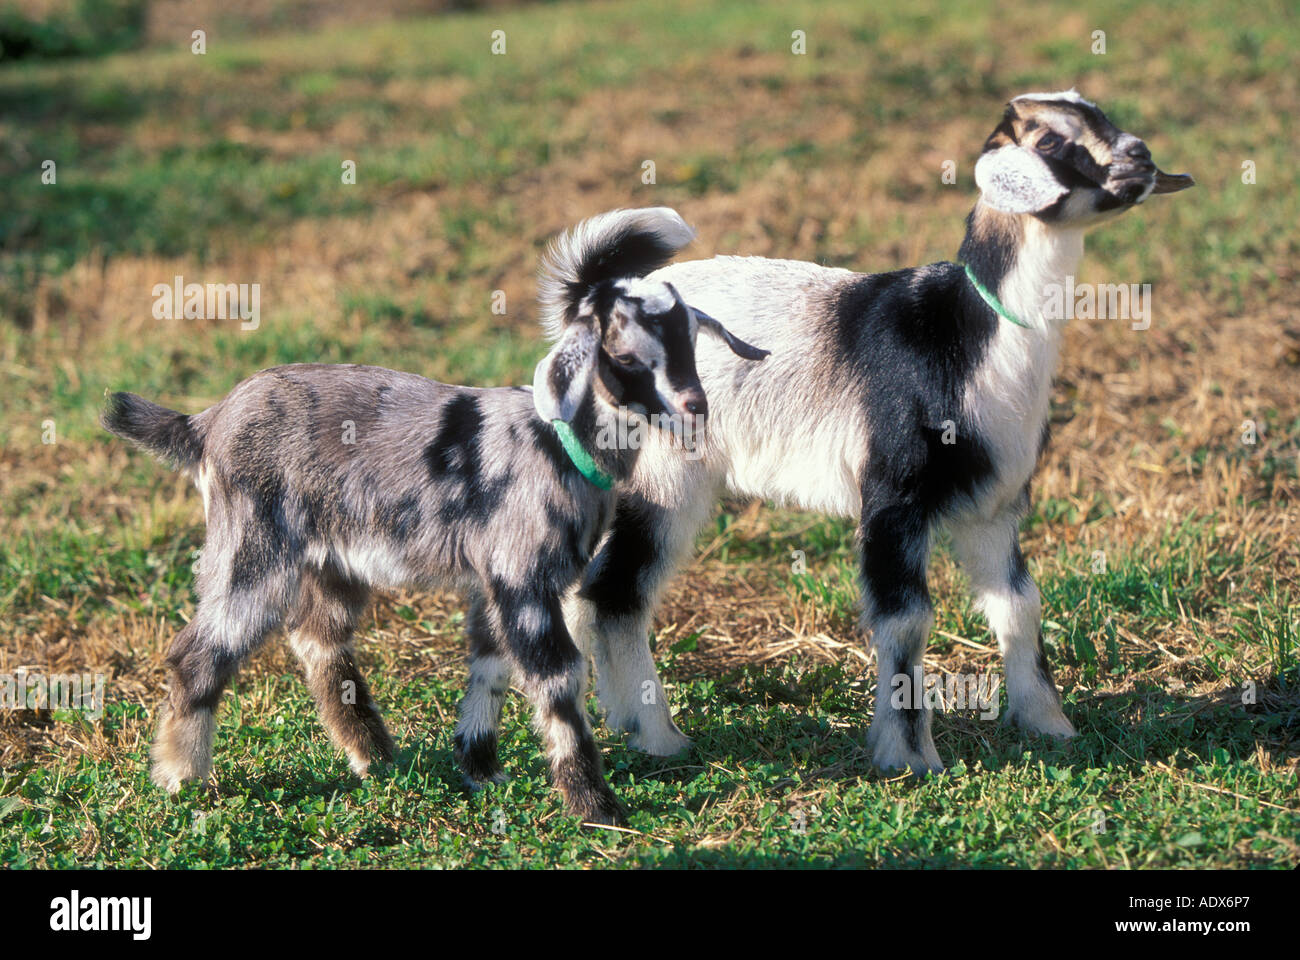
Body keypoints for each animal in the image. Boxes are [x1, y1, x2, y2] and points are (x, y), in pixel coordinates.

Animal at [101, 207, 768, 825]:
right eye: (626, 356)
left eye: (689, 343)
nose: (695, 406)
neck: (558, 444)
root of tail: (206, 422)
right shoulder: (522, 580)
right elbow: (556, 683)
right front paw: (595, 807)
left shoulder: (494, 584)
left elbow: (490, 667)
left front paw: (481, 770)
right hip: (252, 552)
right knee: (198, 653)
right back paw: (183, 777)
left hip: (333, 560)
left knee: (319, 641)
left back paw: (372, 756)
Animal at [548, 91, 1194, 774]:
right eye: (1048, 141)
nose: (1140, 158)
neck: (973, 334)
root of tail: (593, 307)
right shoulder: (892, 495)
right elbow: (907, 618)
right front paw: (909, 755)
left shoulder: (993, 503)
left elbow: (1019, 605)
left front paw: (1050, 724)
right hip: (662, 474)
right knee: (615, 589)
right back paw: (660, 737)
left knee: (594, 594)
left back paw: (626, 720)